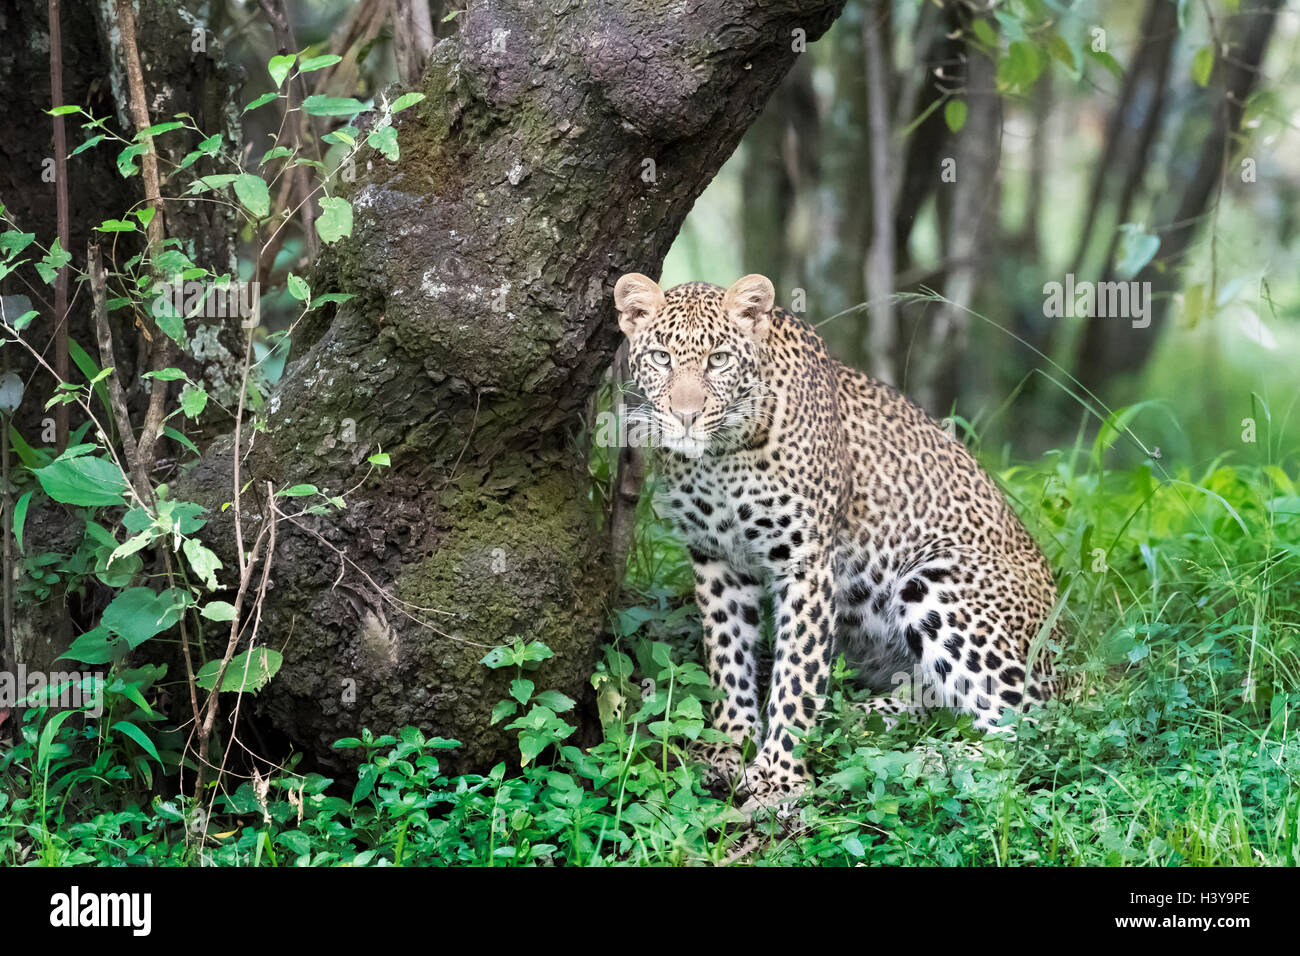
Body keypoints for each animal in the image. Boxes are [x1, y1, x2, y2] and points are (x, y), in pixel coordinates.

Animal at [613, 272, 1060, 813]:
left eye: (718, 359)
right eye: (661, 357)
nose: (685, 416)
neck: (719, 457)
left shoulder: (805, 560)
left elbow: (798, 671)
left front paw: (779, 775)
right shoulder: (715, 558)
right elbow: (726, 655)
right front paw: (728, 745)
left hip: (939, 579)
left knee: (1026, 726)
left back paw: (929, 761)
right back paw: (863, 723)